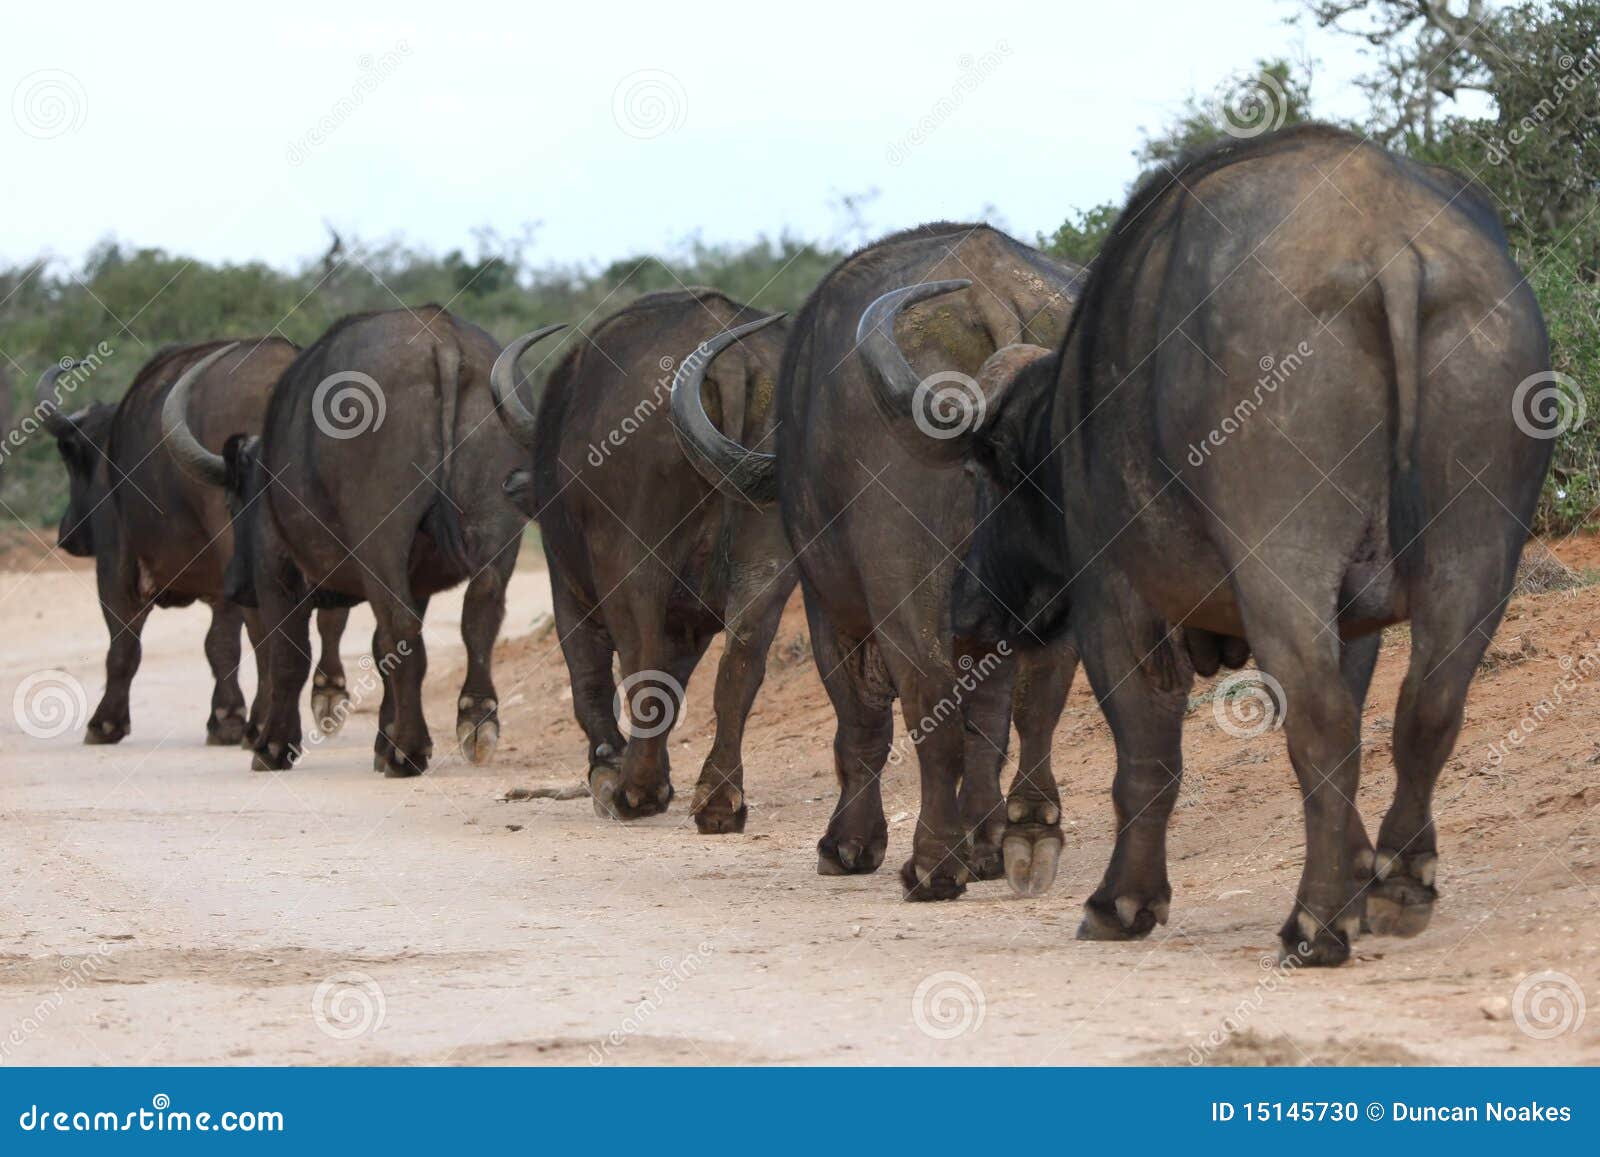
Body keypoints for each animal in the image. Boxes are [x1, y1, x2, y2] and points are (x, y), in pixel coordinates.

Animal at [37, 342, 350, 746]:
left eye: (70, 455)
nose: (67, 534)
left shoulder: (116, 564)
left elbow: (125, 643)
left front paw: (106, 722)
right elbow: (221, 644)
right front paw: (227, 716)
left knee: (265, 633)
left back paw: (262, 722)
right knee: (328, 618)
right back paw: (326, 694)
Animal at [163, 307, 536, 776]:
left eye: (234, 500)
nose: (234, 586)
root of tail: (441, 341)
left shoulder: (275, 568)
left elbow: (289, 655)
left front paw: (274, 746)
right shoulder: (418, 576)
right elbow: (379, 652)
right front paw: (381, 741)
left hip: (381, 539)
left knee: (401, 627)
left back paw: (409, 750)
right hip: (498, 526)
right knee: (479, 611)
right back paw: (476, 721)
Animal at [495, 288, 794, 830]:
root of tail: (733, 360)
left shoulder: (568, 585)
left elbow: (589, 674)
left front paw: (607, 767)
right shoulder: (692, 620)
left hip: (631, 564)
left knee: (641, 660)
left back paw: (635, 790)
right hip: (767, 560)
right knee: (741, 659)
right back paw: (718, 800)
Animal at [672, 224, 1084, 898]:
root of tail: (992, 294)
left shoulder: (830, 607)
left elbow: (862, 721)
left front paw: (849, 844)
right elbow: (989, 723)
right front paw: (987, 843)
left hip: (905, 588)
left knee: (928, 701)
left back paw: (934, 864)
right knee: (1037, 700)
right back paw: (1027, 832)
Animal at [864, 126, 1552, 964]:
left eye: (988, 469)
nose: (967, 614)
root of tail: (1388, 247)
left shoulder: (1113, 598)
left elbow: (1147, 754)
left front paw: (1122, 900)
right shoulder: (1355, 617)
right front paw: (1361, 873)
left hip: (1281, 560)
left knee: (1321, 716)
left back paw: (1313, 924)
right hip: (1476, 557)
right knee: (1425, 708)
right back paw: (1399, 886)